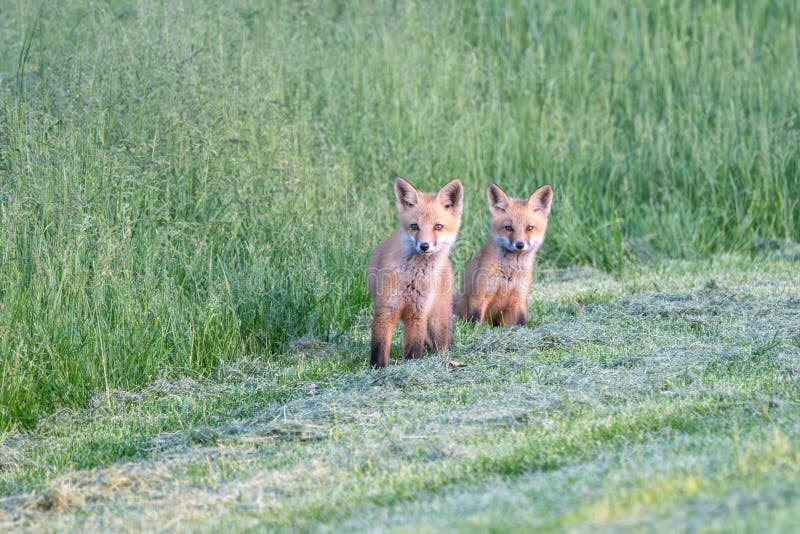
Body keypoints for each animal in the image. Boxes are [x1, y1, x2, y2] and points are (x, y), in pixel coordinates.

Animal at [366, 177, 464, 368]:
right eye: (414, 226)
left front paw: (412, 367)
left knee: (443, 344)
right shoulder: (385, 310)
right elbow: (379, 348)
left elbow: (413, 349)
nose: (424, 246)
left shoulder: (418, 314)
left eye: (438, 226)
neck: (412, 277)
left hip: (437, 318)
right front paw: (376, 370)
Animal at [454, 182, 553, 326]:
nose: (519, 245)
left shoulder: (518, 298)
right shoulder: (480, 295)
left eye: (530, 228)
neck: (509, 273)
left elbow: (521, 322)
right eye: (509, 228)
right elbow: (476, 320)